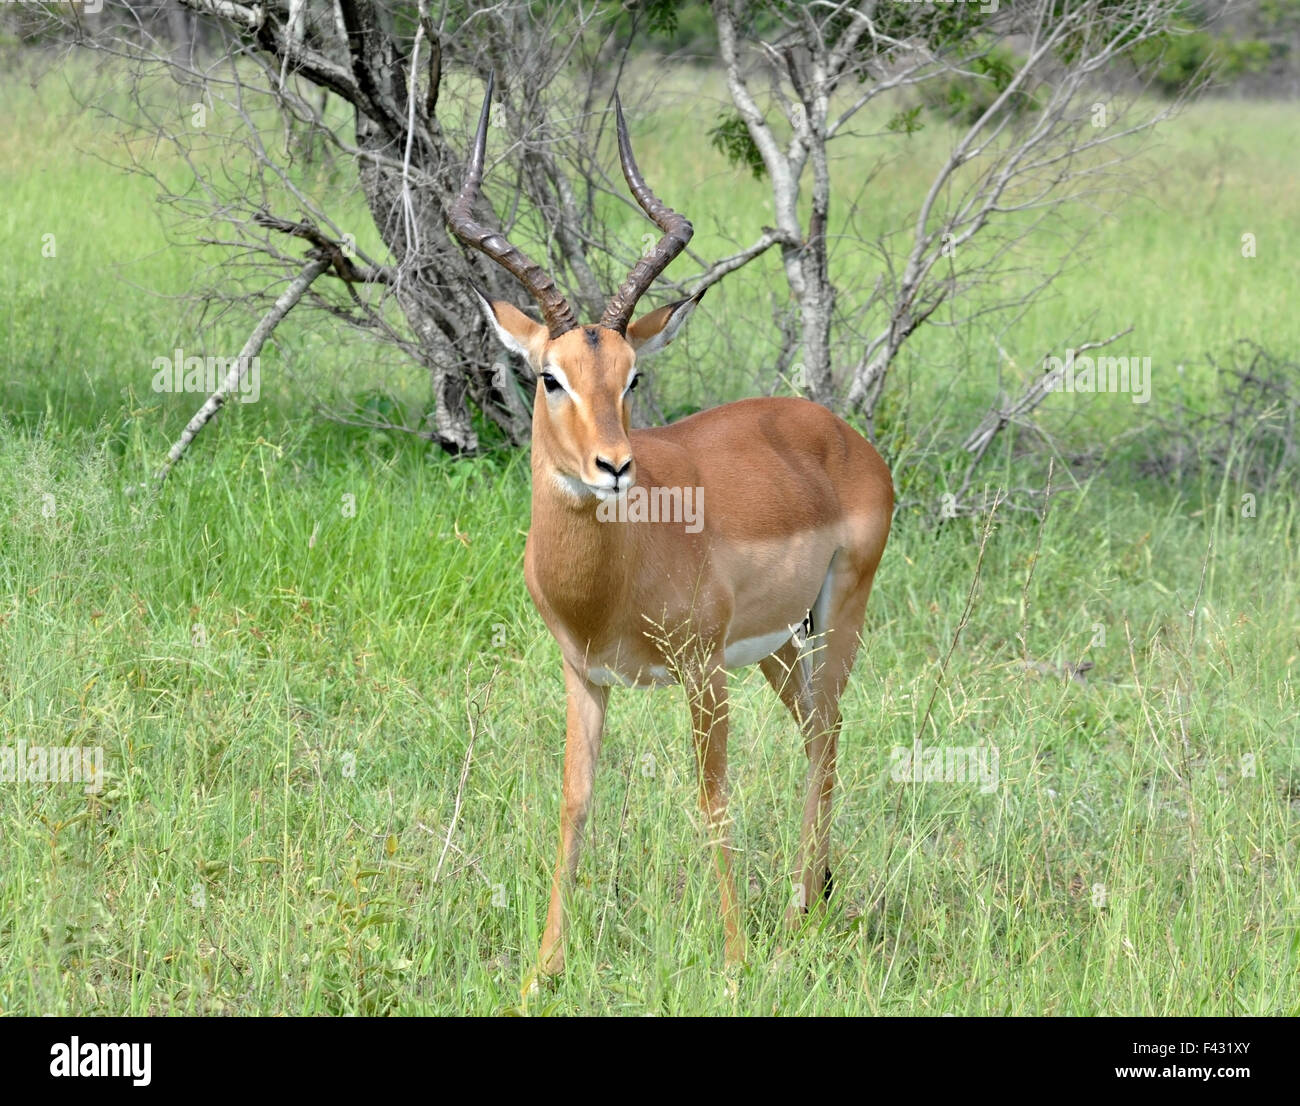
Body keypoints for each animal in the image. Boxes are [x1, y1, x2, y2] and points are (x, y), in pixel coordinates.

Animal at [448, 77, 893, 978]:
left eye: (632, 375)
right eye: (550, 376)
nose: (613, 466)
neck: (612, 573)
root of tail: (839, 433)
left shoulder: (700, 672)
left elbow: (712, 798)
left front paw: (733, 959)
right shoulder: (582, 675)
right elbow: (575, 800)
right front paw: (544, 967)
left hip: (839, 613)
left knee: (829, 731)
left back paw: (799, 911)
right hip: (778, 644)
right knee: (811, 732)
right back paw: (813, 895)